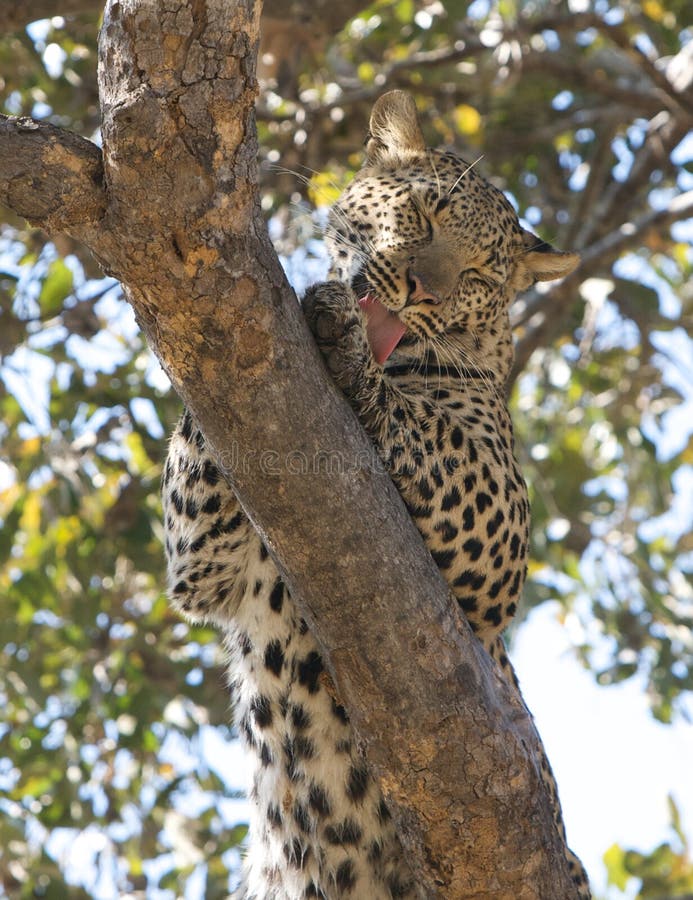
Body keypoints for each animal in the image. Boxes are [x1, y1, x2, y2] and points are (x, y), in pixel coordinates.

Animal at [162, 88, 588, 896]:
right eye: (423, 213)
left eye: (479, 274)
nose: (425, 288)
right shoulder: (205, 568)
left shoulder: (494, 537)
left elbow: (419, 426)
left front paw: (350, 346)